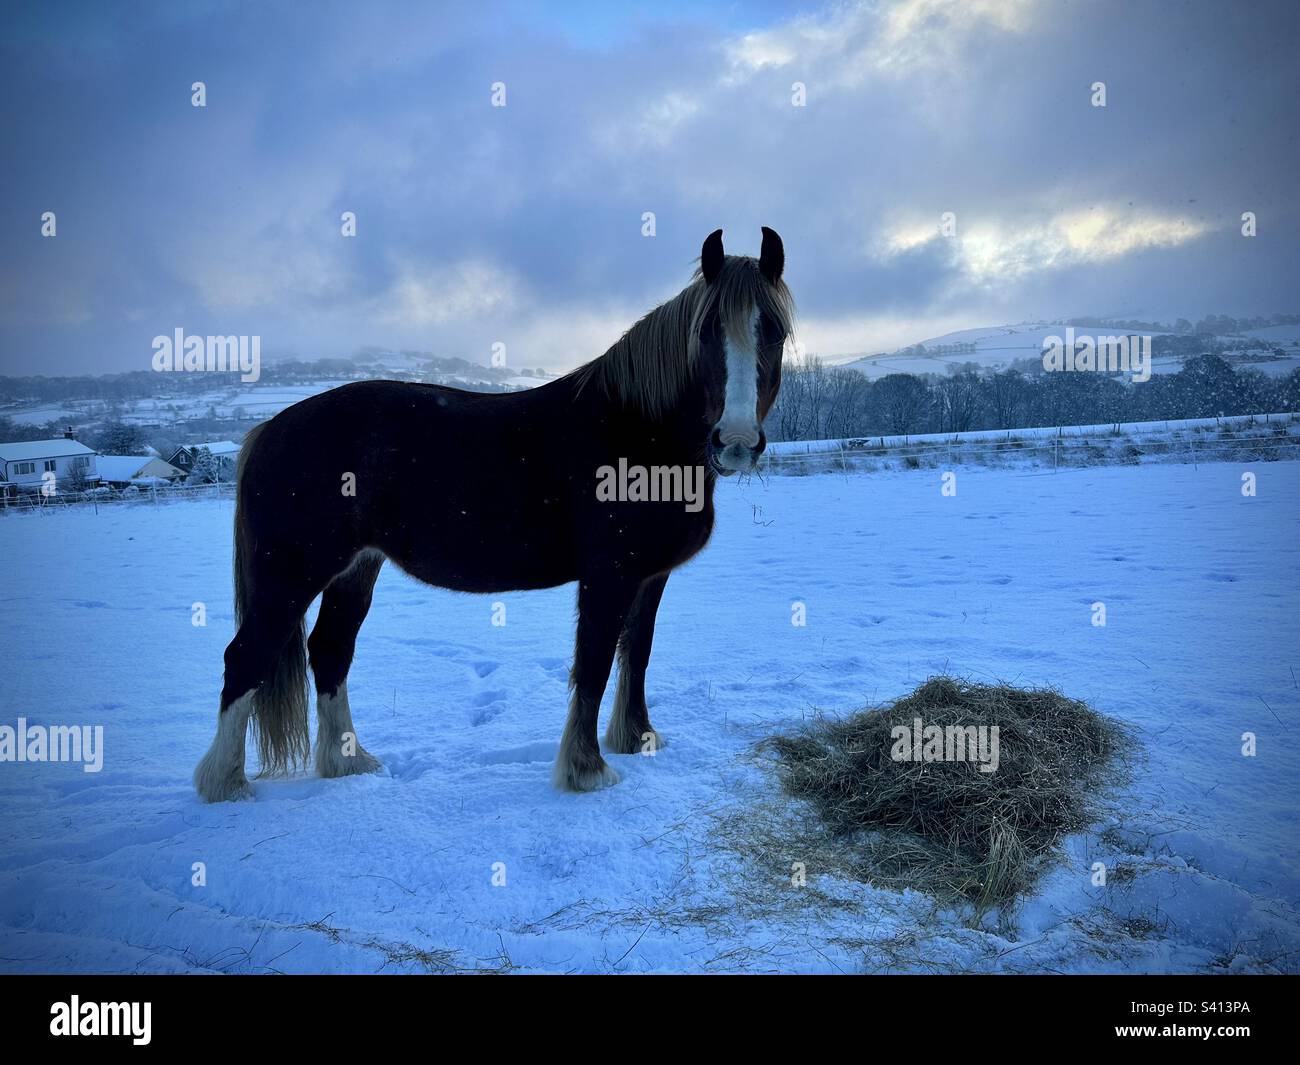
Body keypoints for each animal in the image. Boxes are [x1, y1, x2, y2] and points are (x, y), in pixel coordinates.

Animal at [194, 227, 793, 802]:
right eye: (707, 331)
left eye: (775, 332)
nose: (736, 442)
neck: (635, 429)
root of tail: (268, 430)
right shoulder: (609, 574)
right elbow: (595, 663)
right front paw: (586, 770)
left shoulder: (649, 575)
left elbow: (636, 654)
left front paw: (635, 738)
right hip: (291, 576)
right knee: (245, 659)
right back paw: (225, 783)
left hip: (355, 569)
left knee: (329, 651)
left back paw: (348, 762)